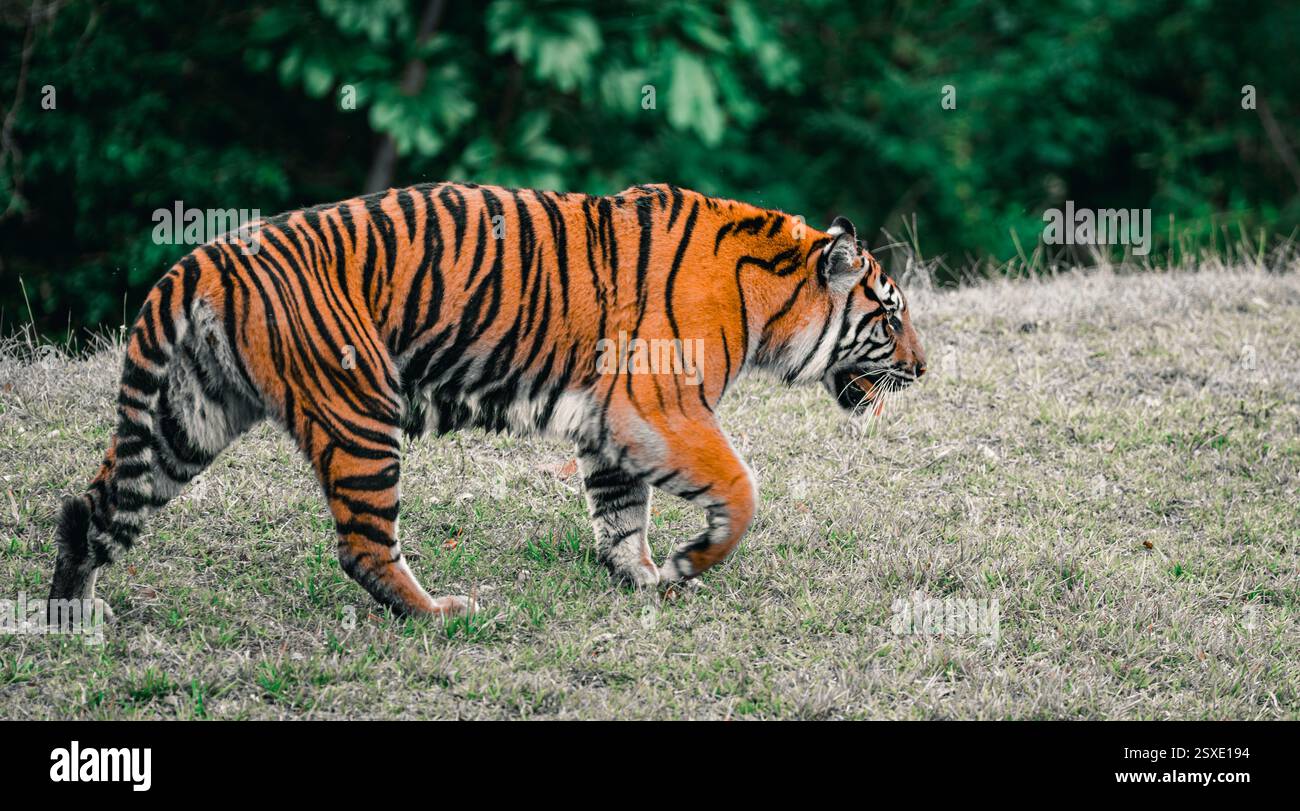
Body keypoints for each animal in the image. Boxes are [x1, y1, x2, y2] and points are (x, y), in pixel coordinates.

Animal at [49, 182, 926, 620]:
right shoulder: (658, 404)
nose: (922, 369)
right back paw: (443, 611)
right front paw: (689, 561)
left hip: (183, 421)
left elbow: (621, 511)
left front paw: (642, 577)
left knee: (91, 506)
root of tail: (206, 258)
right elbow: (741, 488)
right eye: (891, 317)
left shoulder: (612, 420)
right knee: (363, 546)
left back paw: (66, 617)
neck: (773, 291)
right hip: (360, 412)